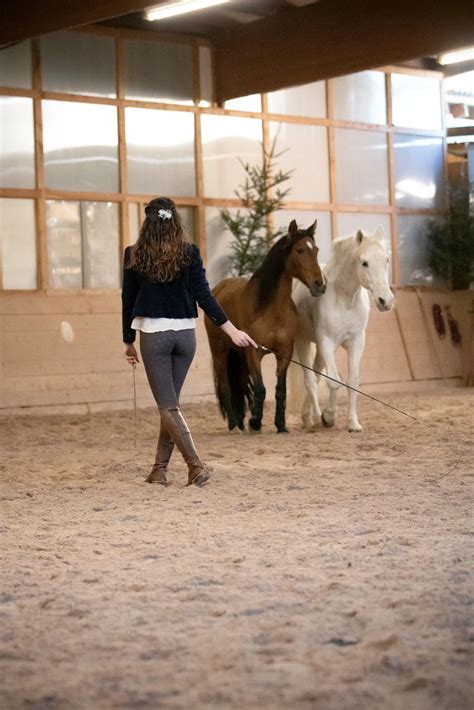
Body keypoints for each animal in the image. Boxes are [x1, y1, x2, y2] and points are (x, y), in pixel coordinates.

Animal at [205, 219, 326, 433]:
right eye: (300, 250)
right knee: (225, 385)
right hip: (219, 351)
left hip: (238, 354)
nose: (319, 284)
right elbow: (261, 388)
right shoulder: (254, 351)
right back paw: (234, 425)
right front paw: (255, 422)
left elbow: (280, 390)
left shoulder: (284, 352)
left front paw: (281, 425)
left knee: (239, 383)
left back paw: (240, 422)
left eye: (316, 250)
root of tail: (219, 288)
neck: (270, 308)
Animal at [291, 226, 394, 432]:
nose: (385, 301)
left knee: (316, 375)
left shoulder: (356, 342)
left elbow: (351, 380)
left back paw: (307, 417)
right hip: (303, 341)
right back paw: (316, 417)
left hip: (319, 350)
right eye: (365, 263)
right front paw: (328, 416)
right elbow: (333, 380)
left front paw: (353, 423)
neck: (343, 298)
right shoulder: (327, 341)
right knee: (310, 380)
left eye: (386, 259)